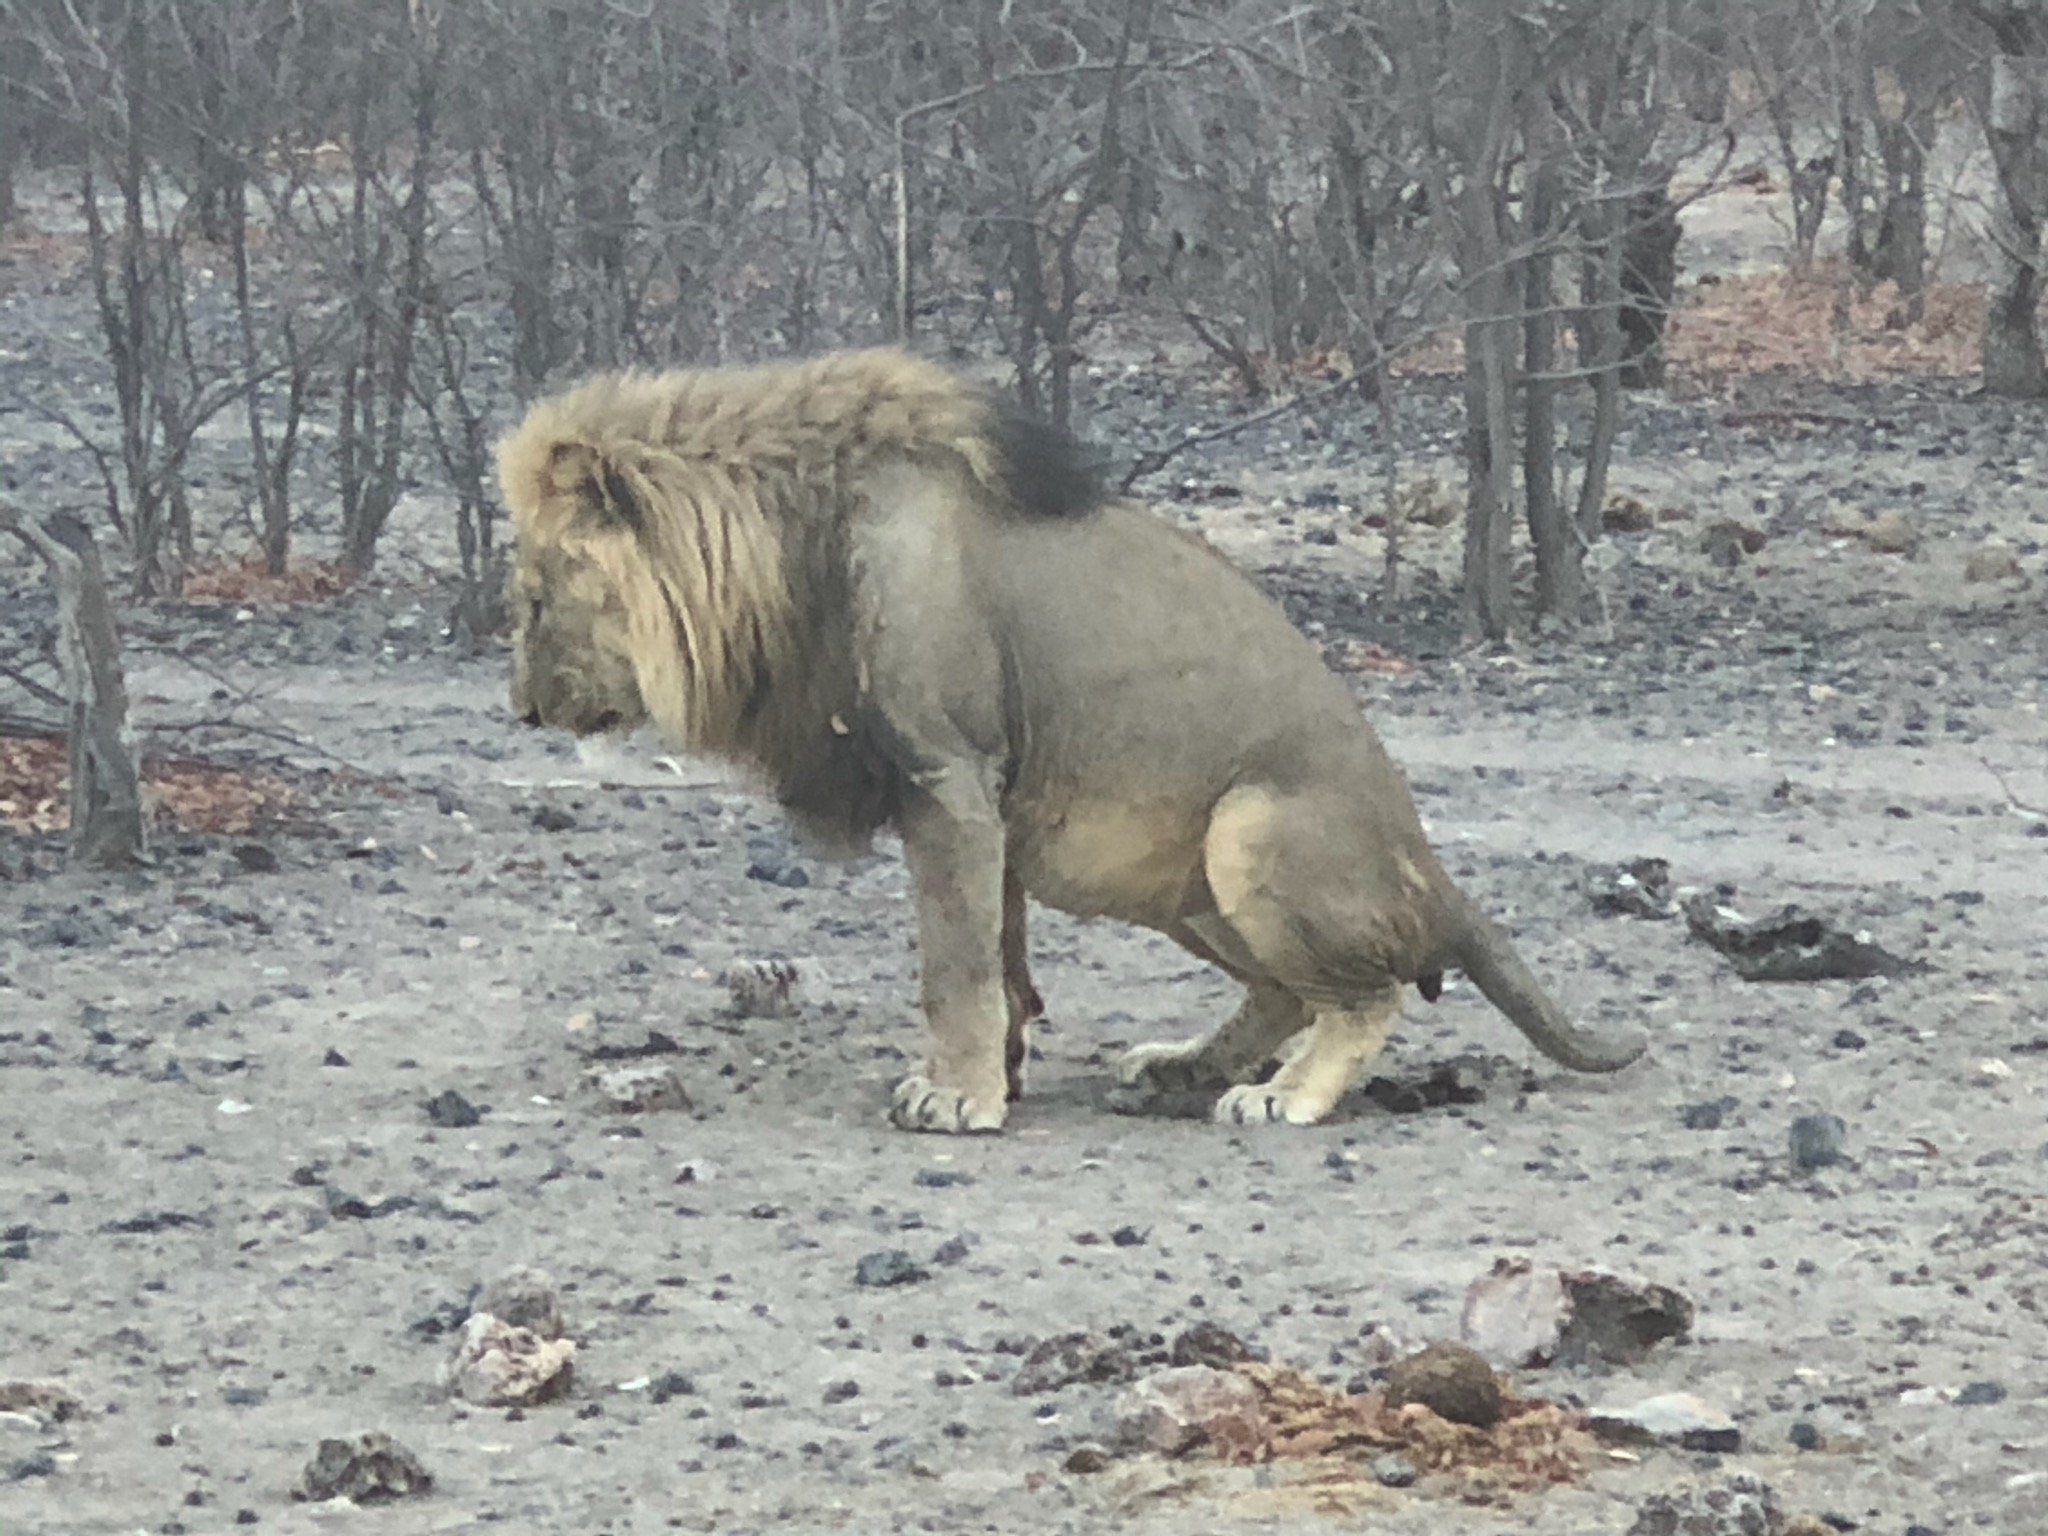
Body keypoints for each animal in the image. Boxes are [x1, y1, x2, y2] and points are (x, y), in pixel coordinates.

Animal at [497, 347, 1646, 1134]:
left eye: (534, 596)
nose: (521, 711)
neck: (793, 542)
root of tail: (1435, 872)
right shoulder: (987, 800)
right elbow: (999, 957)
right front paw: (997, 1075)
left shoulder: (949, 775)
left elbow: (954, 963)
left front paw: (956, 1099)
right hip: (1180, 884)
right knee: (1285, 991)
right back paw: (1185, 1063)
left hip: (1248, 828)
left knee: (1364, 997)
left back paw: (1282, 1098)